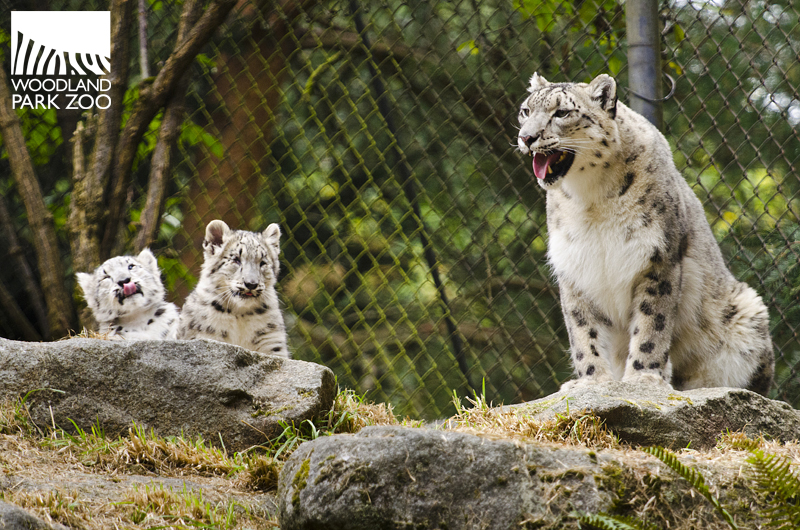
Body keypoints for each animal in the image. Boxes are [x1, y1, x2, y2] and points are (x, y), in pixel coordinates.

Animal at [177, 220, 290, 358]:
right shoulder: (206, 335)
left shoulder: (272, 342)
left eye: (263, 262)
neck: (240, 314)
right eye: (236, 259)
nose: (251, 284)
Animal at [516, 72, 774, 395]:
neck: (592, 200)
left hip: (748, 311)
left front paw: (644, 378)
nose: (526, 137)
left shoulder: (658, 259)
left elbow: (653, 323)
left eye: (561, 112)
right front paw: (591, 381)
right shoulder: (575, 267)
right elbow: (583, 330)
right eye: (525, 111)